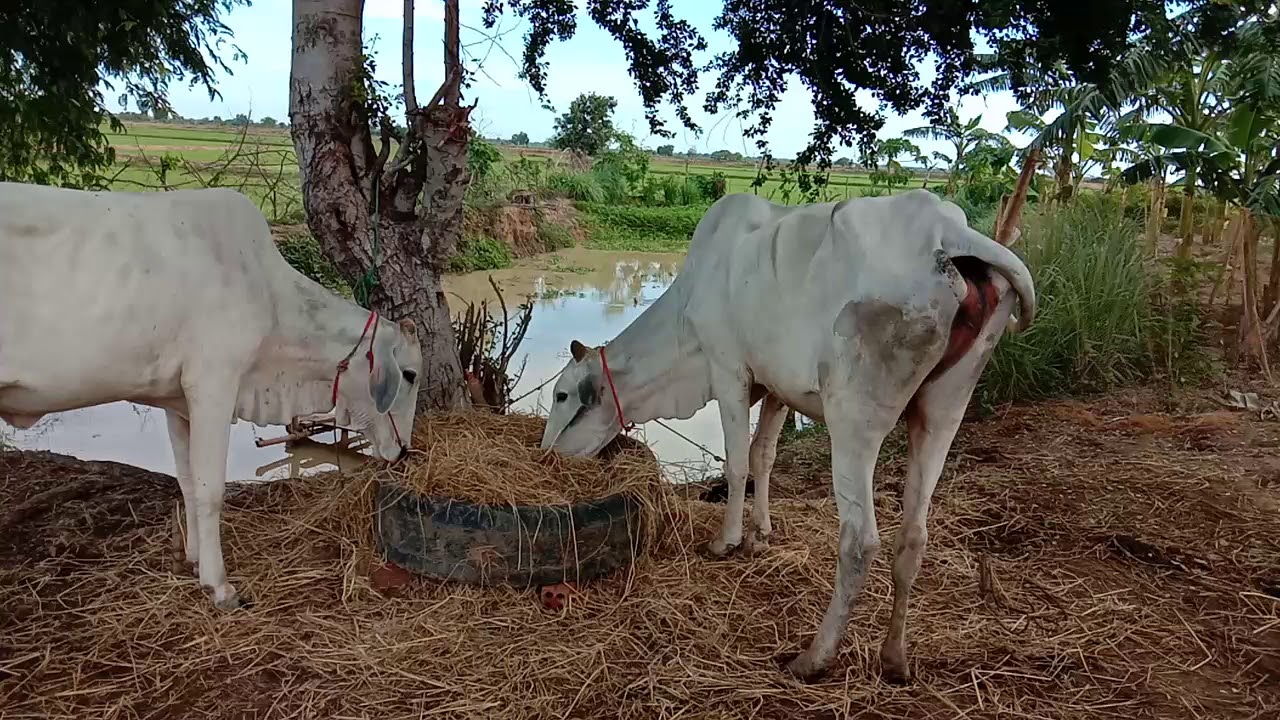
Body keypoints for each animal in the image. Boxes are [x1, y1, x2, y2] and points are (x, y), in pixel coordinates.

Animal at [0, 182, 423, 610]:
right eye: (410, 375)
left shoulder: (177, 402)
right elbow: (210, 491)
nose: (404, 450)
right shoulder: (213, 386)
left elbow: (187, 482)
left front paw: (194, 561)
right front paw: (220, 587)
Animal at [539, 189, 1036, 681]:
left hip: (854, 418)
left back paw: (814, 658)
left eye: (562, 395)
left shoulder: (729, 373)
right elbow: (764, 456)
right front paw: (760, 535)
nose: (545, 455)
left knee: (860, 541)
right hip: (944, 411)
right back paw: (894, 659)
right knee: (913, 535)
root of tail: (948, 232)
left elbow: (737, 461)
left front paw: (727, 541)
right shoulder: (778, 389)